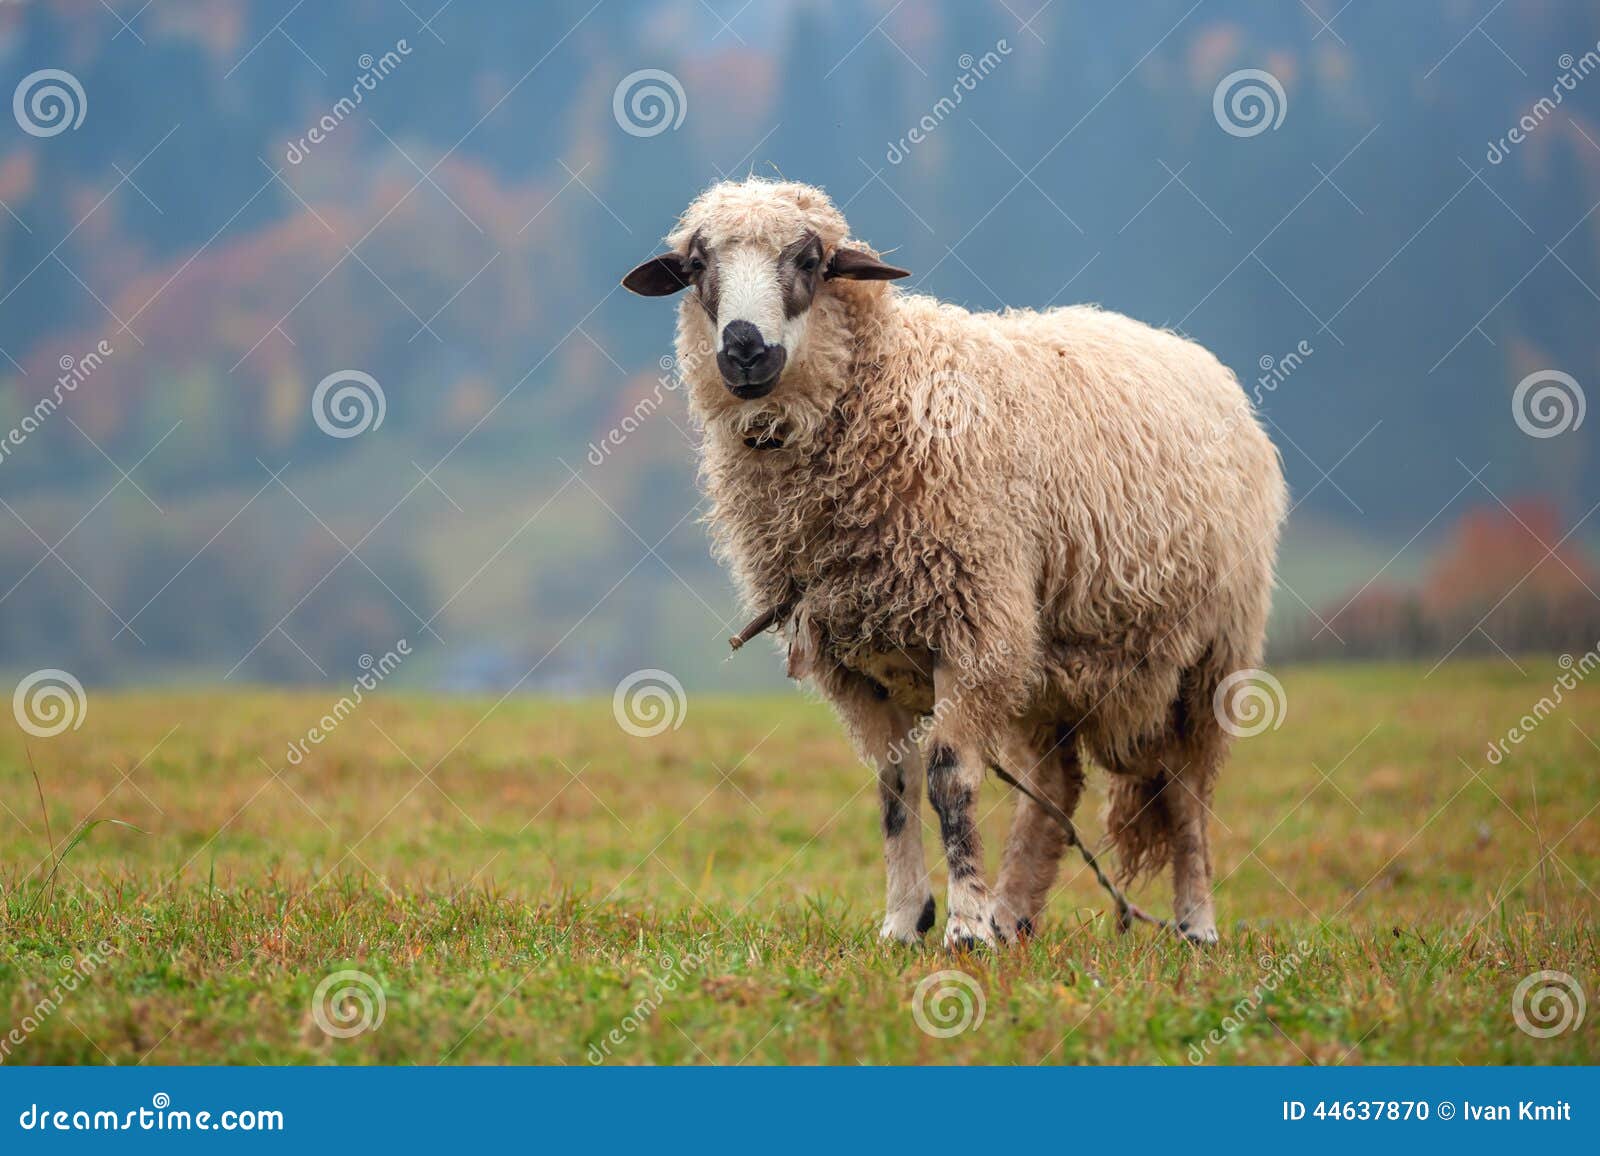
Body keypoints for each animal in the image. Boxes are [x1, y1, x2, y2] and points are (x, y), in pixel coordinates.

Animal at [623, 178, 1286, 949]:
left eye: (811, 261)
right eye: (697, 265)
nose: (743, 350)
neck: (880, 397)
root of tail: (1183, 350)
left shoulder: (974, 631)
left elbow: (948, 781)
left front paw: (964, 928)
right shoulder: (858, 661)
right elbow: (894, 790)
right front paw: (905, 921)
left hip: (1210, 653)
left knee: (1186, 790)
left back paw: (1193, 924)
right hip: (1045, 662)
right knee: (1056, 784)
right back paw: (1016, 913)